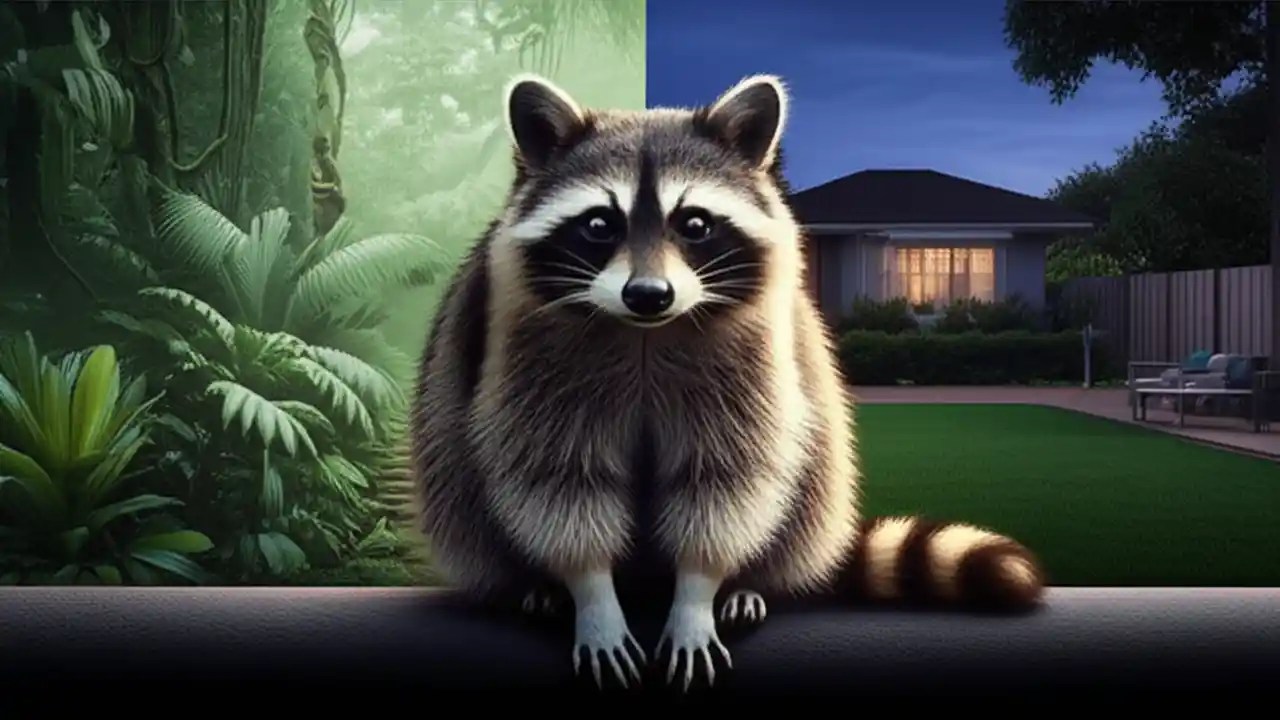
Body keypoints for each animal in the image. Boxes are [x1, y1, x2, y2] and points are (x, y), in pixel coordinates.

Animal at [409, 72, 1045, 692]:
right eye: (598, 224)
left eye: (694, 224)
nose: (648, 295)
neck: (647, 331)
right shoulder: (531, 352)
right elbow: (556, 475)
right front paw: (591, 595)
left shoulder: (750, 357)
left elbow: (727, 475)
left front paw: (697, 594)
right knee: (462, 479)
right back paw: (538, 588)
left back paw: (747, 585)